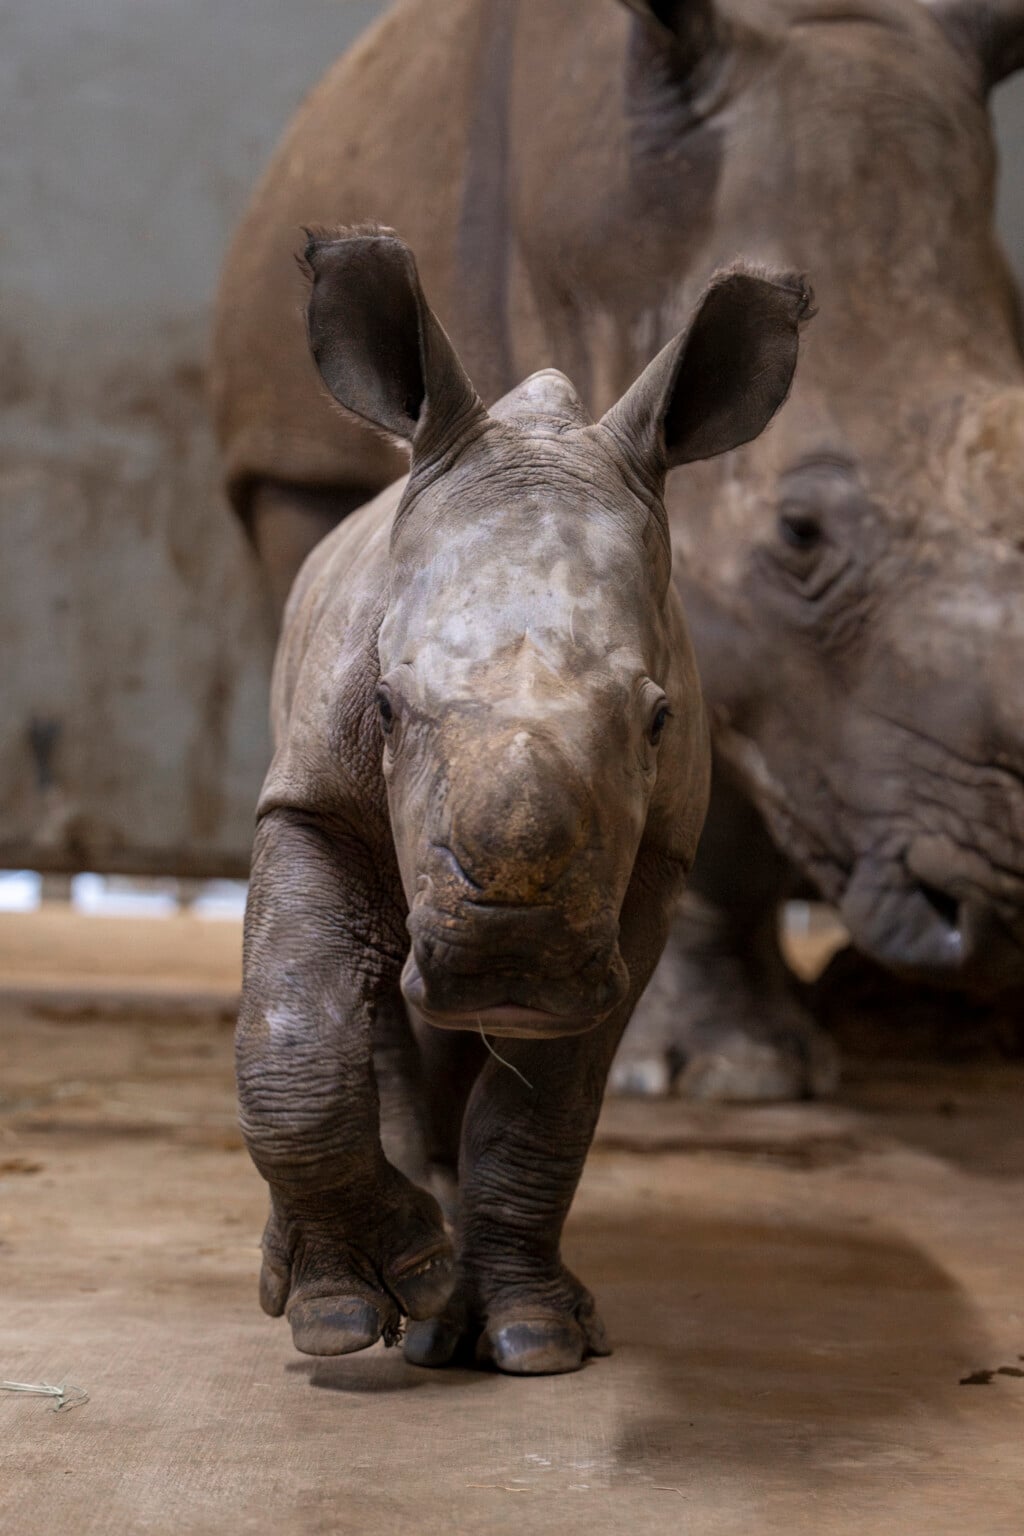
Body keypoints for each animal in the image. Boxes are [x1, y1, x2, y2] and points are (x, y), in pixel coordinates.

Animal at [236, 226, 808, 1371]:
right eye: (383, 704)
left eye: (659, 720)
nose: (511, 959)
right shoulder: (311, 798)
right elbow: (293, 1025)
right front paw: (341, 1311)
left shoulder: (651, 863)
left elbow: (551, 1103)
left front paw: (534, 1334)